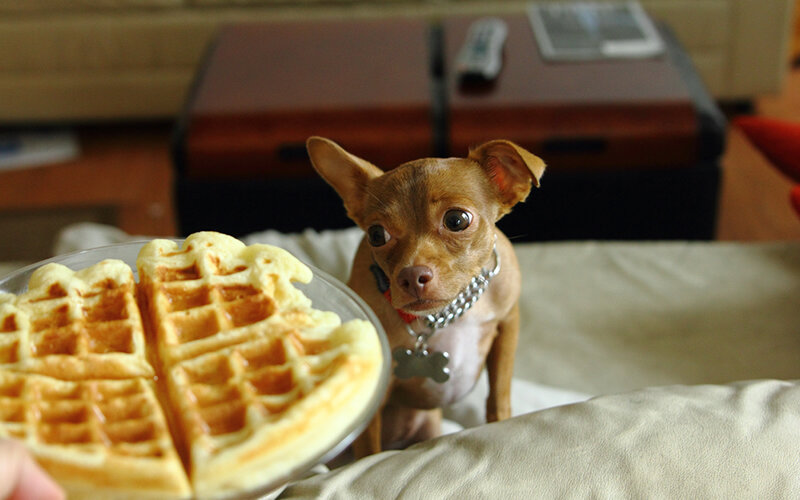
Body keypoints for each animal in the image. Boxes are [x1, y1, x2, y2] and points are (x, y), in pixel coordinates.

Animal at [306, 136, 544, 454]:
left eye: (457, 220)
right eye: (376, 235)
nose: (410, 275)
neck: (447, 314)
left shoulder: (508, 325)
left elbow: (499, 394)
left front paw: (499, 422)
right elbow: (369, 448)